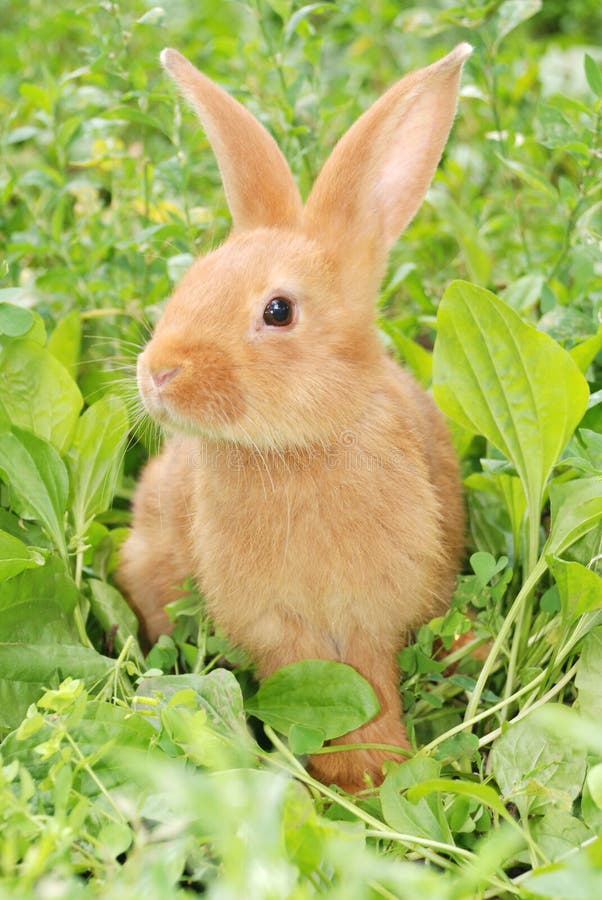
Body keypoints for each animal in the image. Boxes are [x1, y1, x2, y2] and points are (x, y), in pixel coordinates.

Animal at [118, 43, 469, 793]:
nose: (158, 372)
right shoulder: (278, 625)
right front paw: (360, 774)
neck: (301, 446)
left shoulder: (374, 612)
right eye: (191, 281)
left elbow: (369, 684)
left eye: (277, 311)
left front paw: (376, 772)